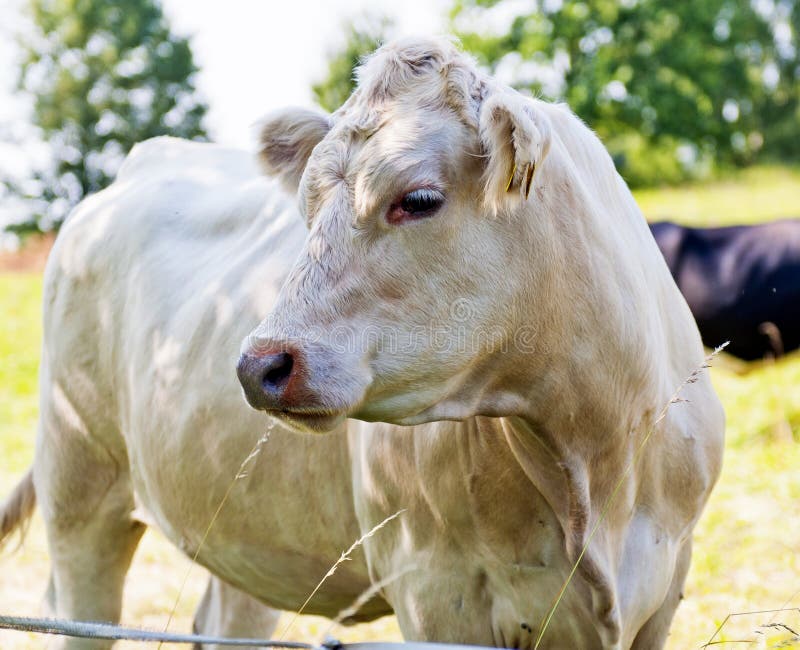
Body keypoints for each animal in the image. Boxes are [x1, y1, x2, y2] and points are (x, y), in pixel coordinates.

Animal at [0, 38, 723, 649]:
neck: (596, 453)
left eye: (420, 198)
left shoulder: (665, 586)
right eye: (309, 208)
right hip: (79, 485)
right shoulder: (437, 592)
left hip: (243, 527)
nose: (259, 365)